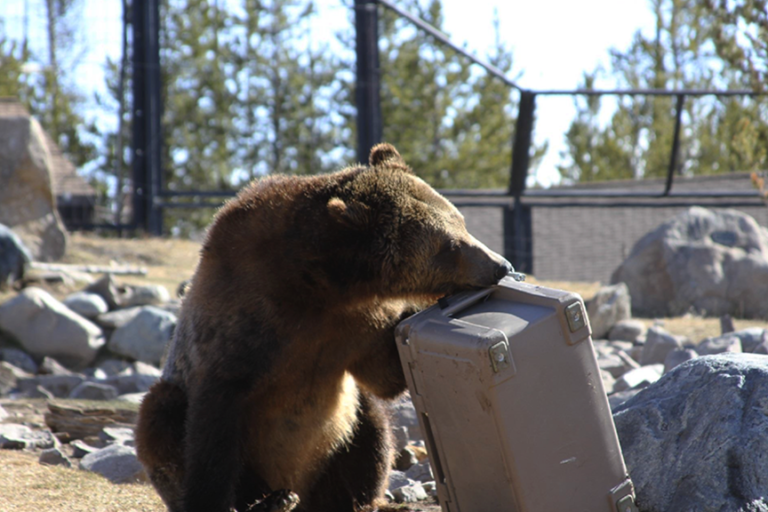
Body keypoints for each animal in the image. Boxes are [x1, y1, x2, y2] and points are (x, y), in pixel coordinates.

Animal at [135, 143, 513, 512]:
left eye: (461, 222)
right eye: (447, 245)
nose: (501, 266)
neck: (322, 285)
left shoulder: (355, 329)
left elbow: (386, 376)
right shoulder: (243, 328)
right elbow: (214, 428)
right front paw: (222, 500)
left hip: (336, 448)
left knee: (369, 430)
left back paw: (363, 501)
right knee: (160, 415)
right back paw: (271, 500)